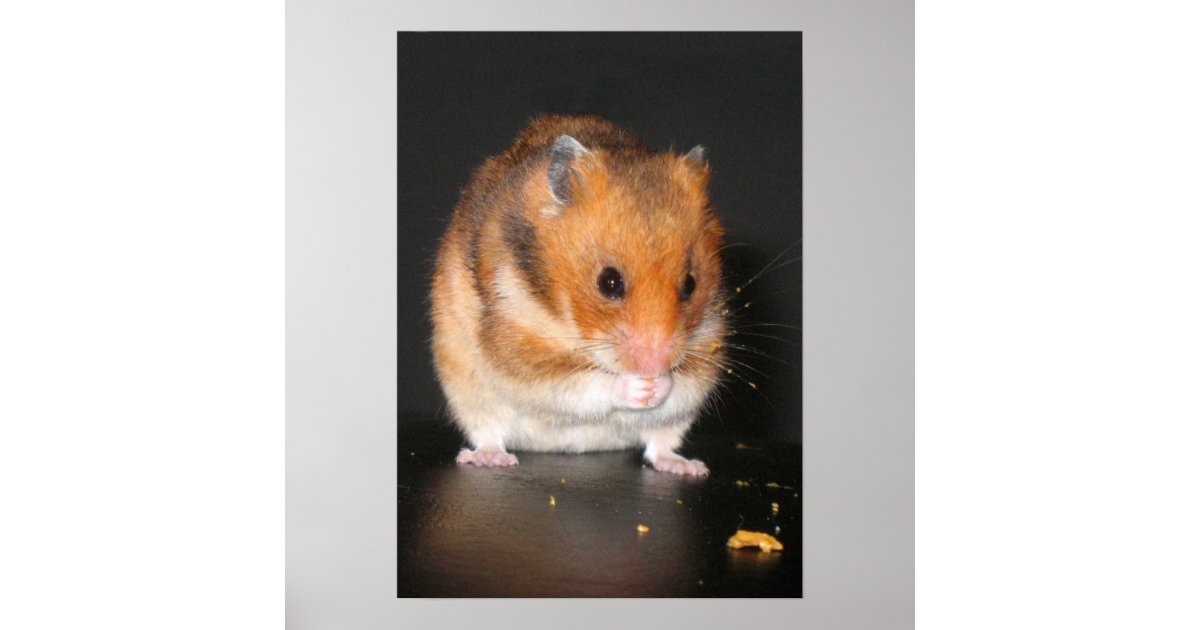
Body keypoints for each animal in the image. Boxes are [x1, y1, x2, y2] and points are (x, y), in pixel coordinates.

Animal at [429, 115, 727, 476]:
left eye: (690, 284)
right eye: (609, 282)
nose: (653, 366)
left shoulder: (706, 348)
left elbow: (682, 384)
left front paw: (658, 384)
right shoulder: (520, 345)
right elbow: (587, 383)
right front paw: (641, 385)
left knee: (660, 445)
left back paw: (689, 467)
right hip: (470, 392)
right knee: (488, 433)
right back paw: (491, 458)